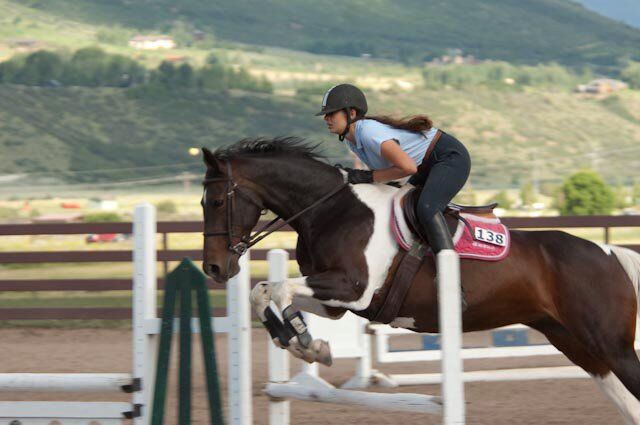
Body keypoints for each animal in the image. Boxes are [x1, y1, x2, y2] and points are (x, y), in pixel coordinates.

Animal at [200, 138, 640, 423]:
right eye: (204, 202)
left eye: (218, 201)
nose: (215, 270)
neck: (330, 210)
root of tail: (610, 253)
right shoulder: (335, 300)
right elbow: (262, 292)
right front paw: (307, 345)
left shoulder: (352, 289)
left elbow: (277, 287)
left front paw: (308, 344)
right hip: (577, 344)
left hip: (610, 345)